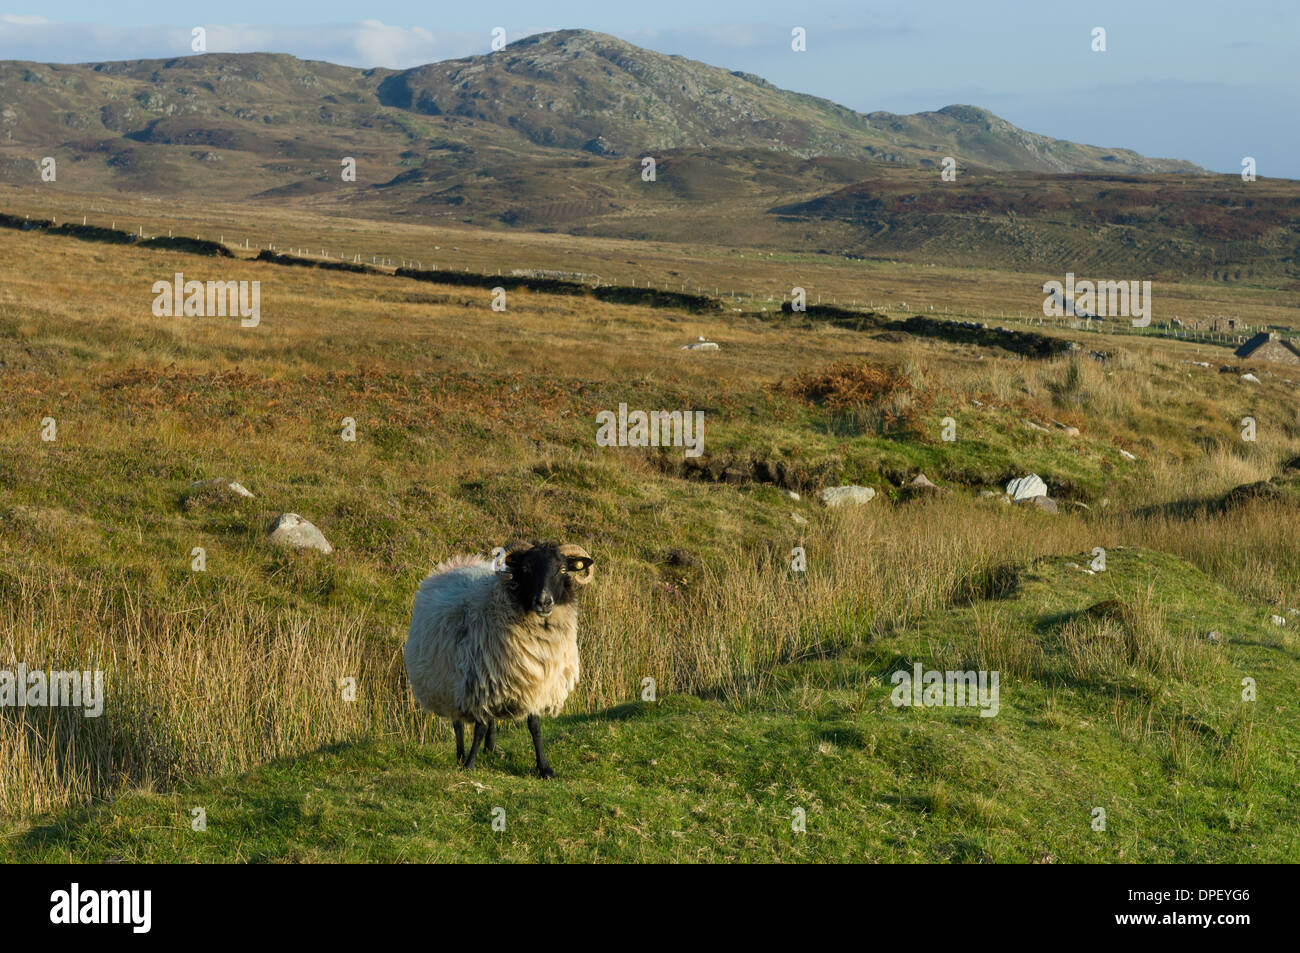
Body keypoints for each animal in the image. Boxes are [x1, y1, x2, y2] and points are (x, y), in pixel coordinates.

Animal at [404, 540, 595, 778]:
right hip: (448, 680)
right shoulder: (477, 681)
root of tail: (454, 563)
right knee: (458, 723)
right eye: (526, 569)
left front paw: (544, 768)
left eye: (562, 569)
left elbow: (534, 726)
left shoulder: (535, 681)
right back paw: (460, 756)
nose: (544, 602)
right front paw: (470, 764)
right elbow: (479, 727)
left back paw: (491, 749)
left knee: (489, 720)